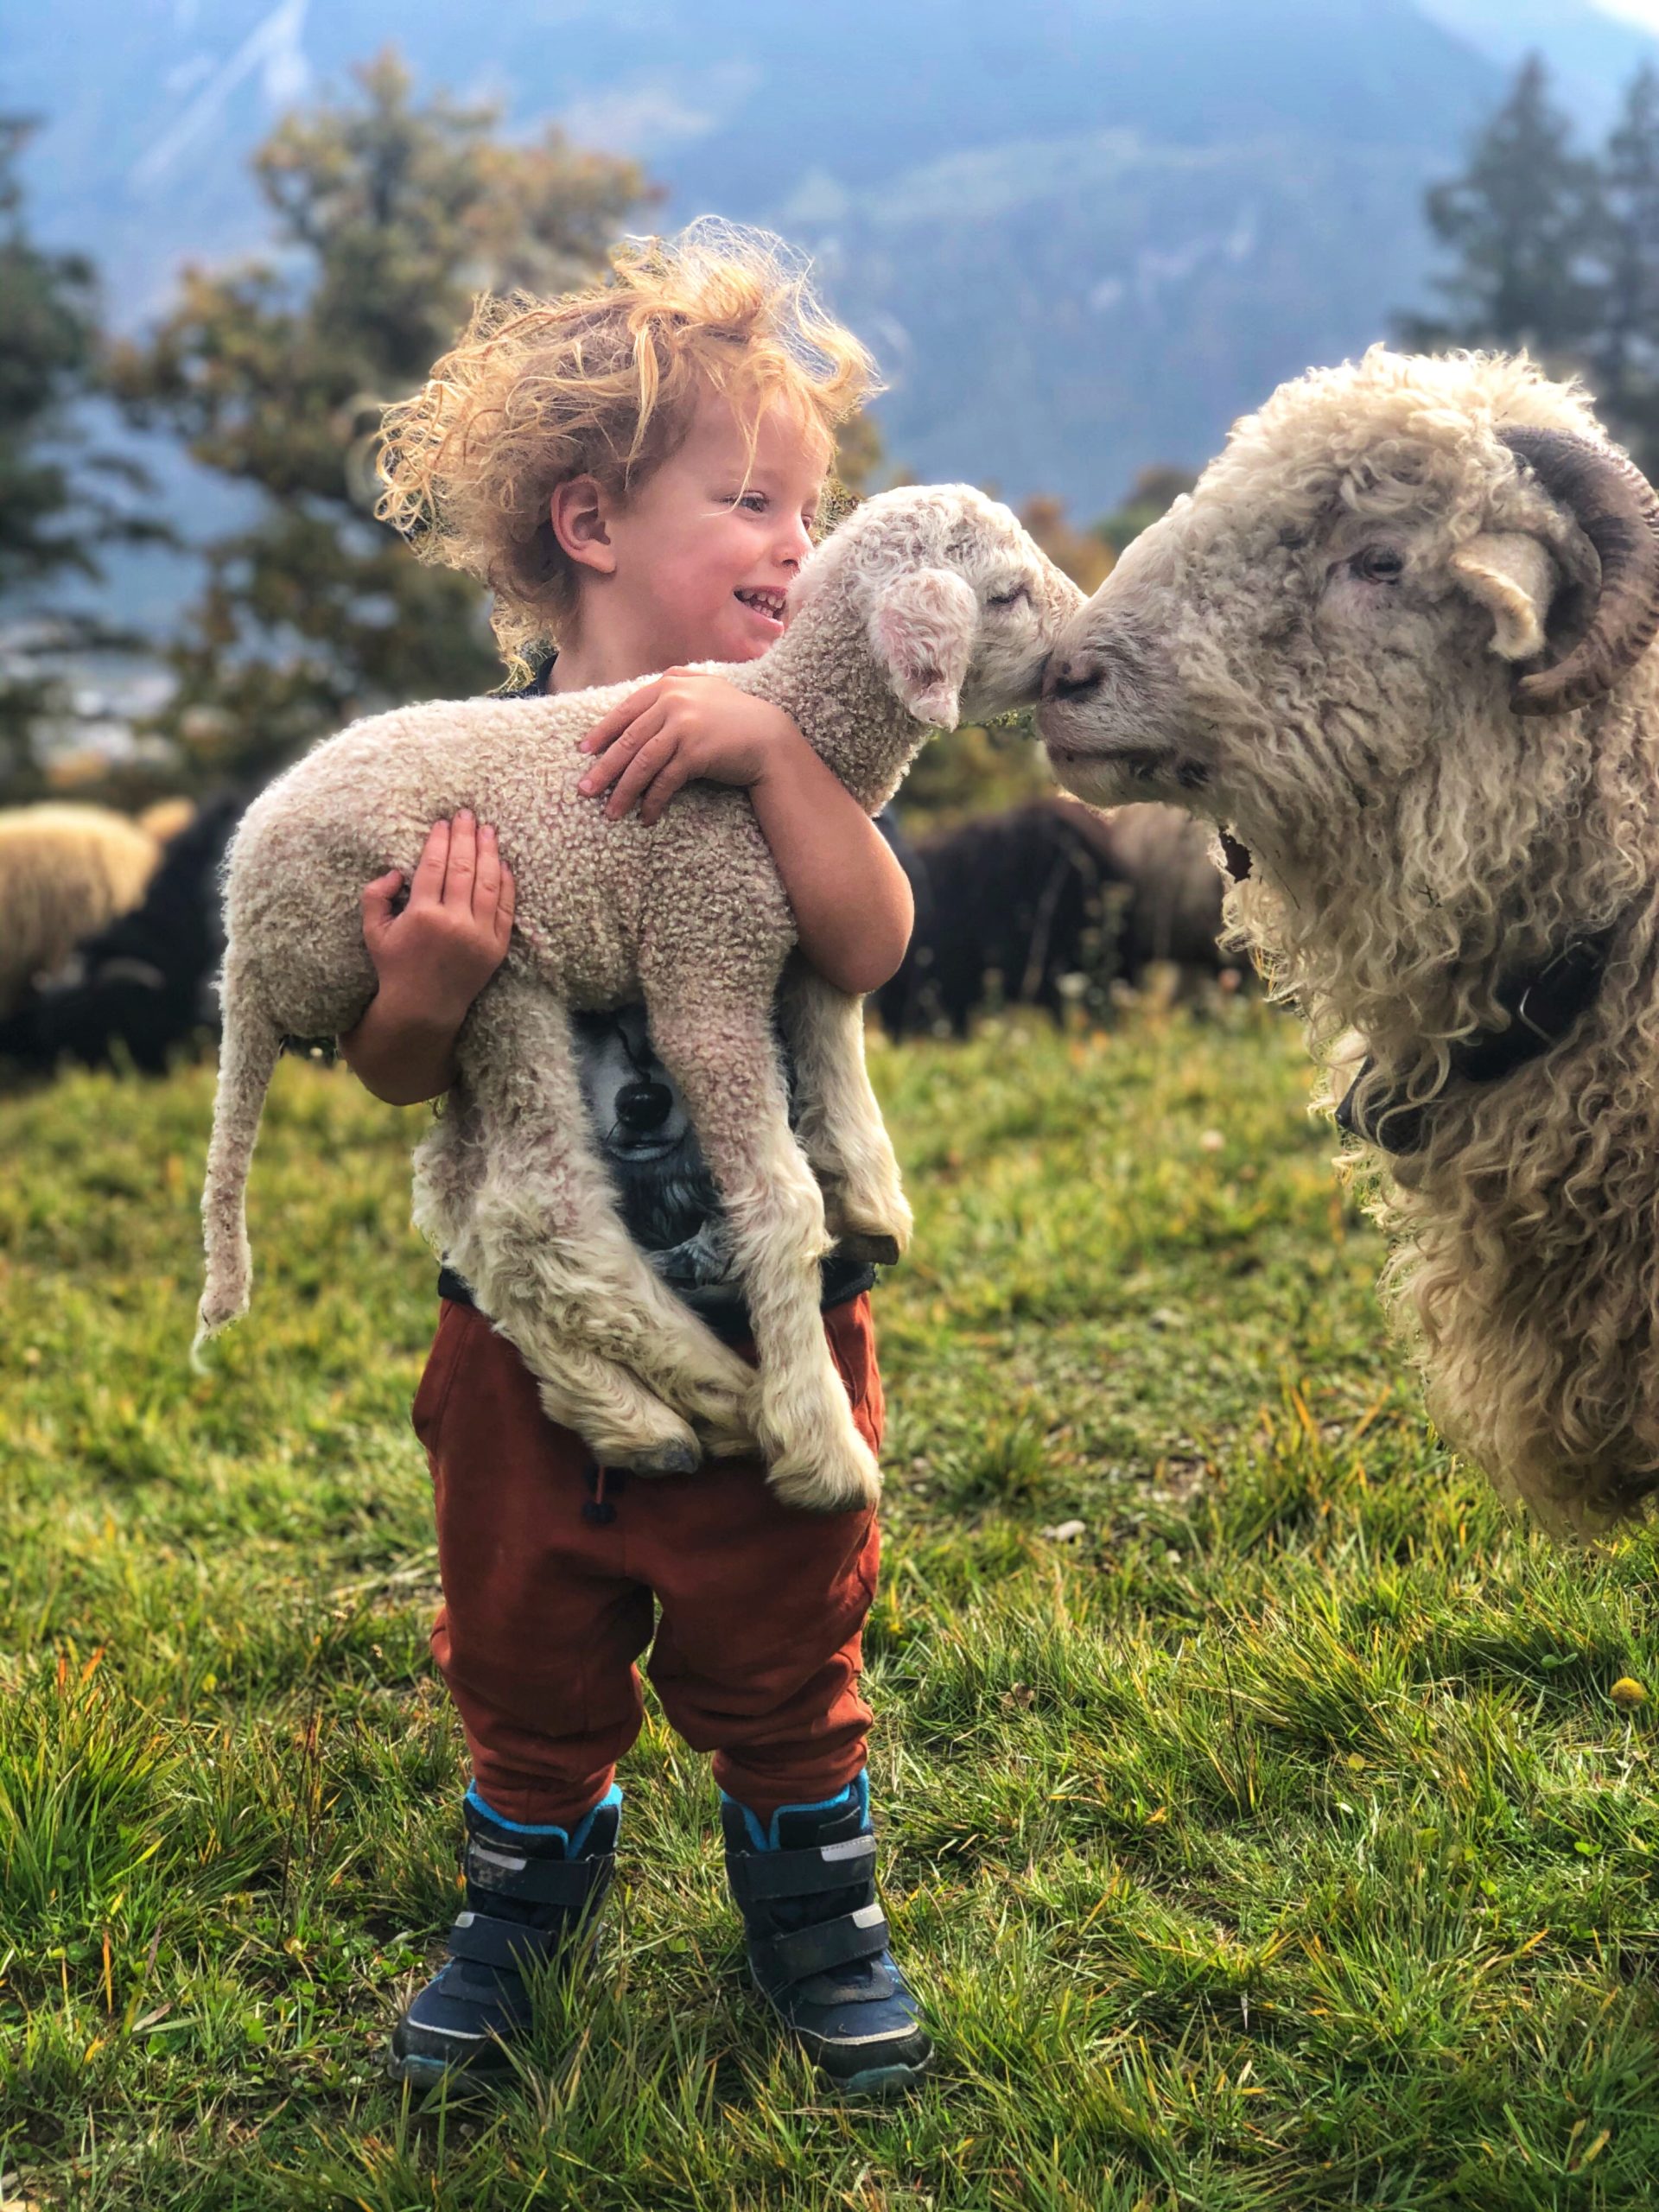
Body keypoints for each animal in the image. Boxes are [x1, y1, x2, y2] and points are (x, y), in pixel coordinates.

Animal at [197, 484, 1081, 1514]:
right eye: (1008, 594)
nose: (1077, 650)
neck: (790, 719)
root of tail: (246, 925)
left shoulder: (796, 944)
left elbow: (838, 1044)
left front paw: (867, 1197)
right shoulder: (705, 953)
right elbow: (778, 1202)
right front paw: (820, 1444)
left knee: (472, 1212)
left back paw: (637, 1418)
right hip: (476, 960)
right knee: (539, 1208)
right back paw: (720, 1395)